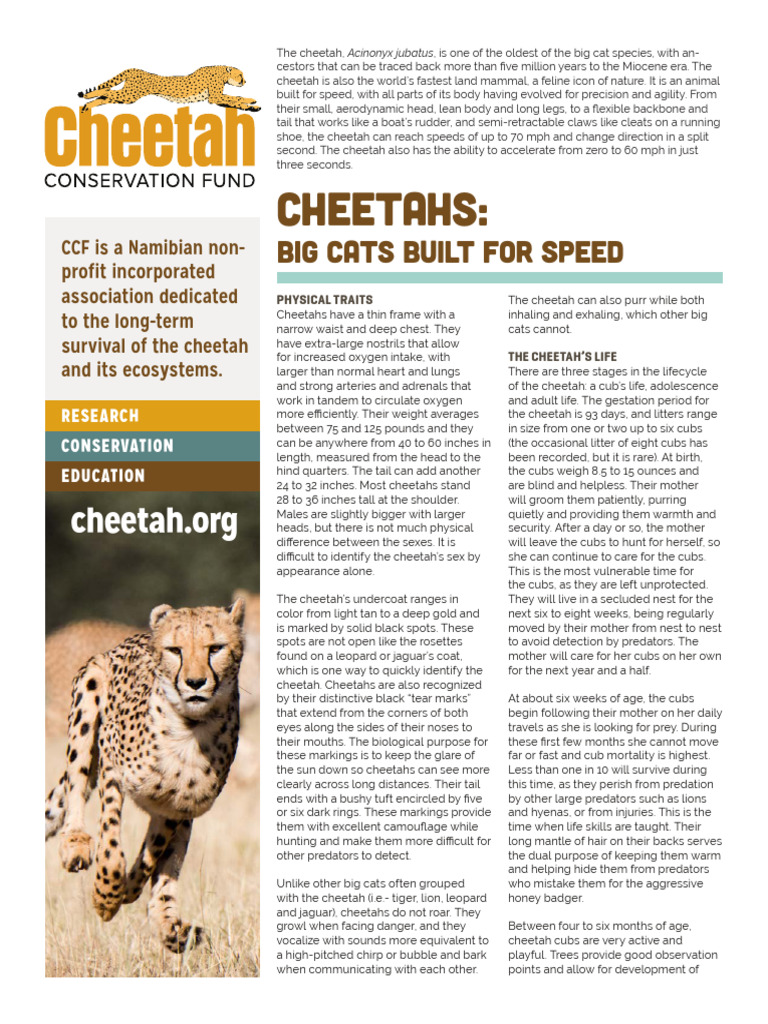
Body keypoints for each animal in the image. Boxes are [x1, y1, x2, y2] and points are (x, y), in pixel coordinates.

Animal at [45, 600, 244, 953]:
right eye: (176, 650)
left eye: (216, 648)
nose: (195, 682)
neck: (188, 730)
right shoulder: (111, 762)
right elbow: (111, 843)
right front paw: (105, 897)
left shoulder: (176, 809)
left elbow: (153, 860)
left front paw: (126, 891)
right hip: (90, 688)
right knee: (75, 782)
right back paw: (76, 844)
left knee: (166, 871)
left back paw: (172, 928)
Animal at [77, 66, 260, 113]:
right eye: (240, 75)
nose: (245, 81)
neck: (222, 72)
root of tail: (134, 69)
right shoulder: (214, 97)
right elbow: (234, 99)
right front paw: (250, 106)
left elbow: (236, 97)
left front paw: (251, 101)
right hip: (130, 95)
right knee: (107, 91)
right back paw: (87, 96)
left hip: (127, 96)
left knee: (106, 96)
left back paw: (87, 105)